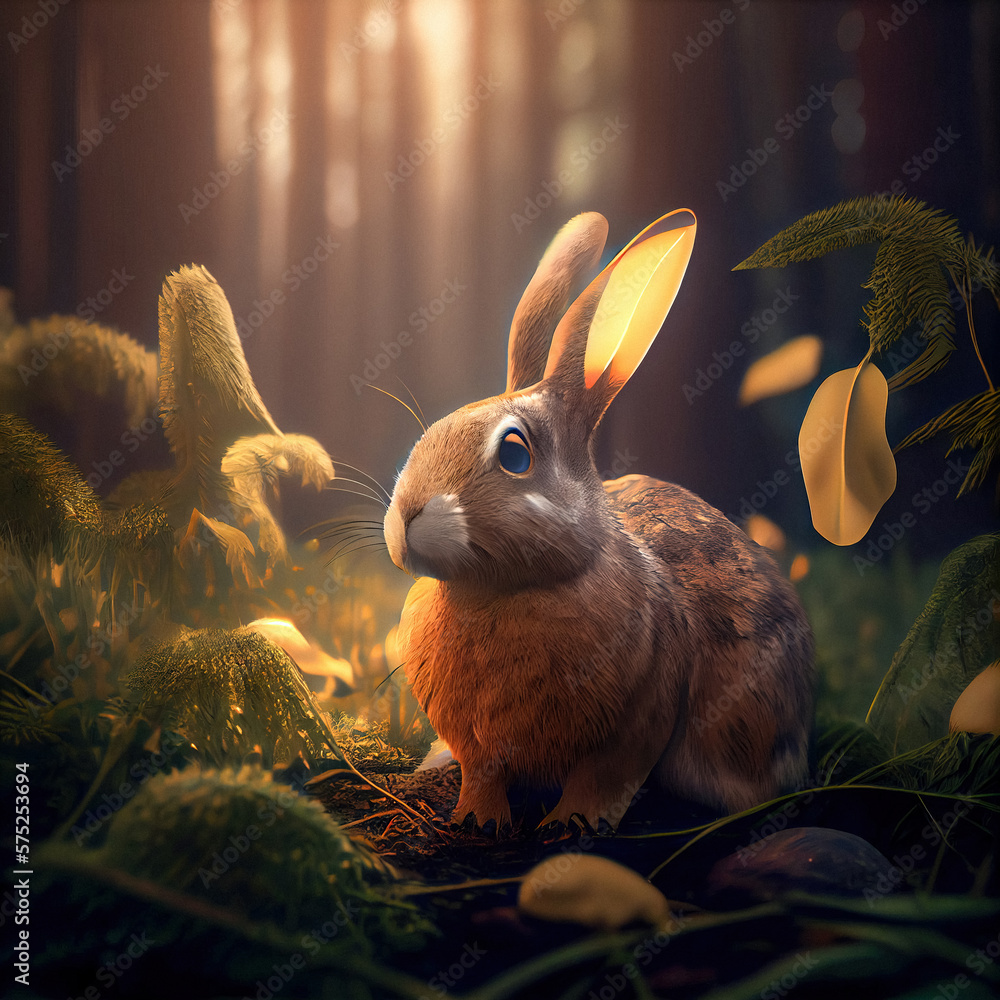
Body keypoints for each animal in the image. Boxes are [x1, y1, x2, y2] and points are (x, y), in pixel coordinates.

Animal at [383, 209, 815, 831]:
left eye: (514, 453)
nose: (407, 515)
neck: (498, 591)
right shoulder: (478, 744)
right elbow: (483, 775)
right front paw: (477, 820)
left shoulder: (638, 719)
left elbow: (602, 779)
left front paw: (569, 826)